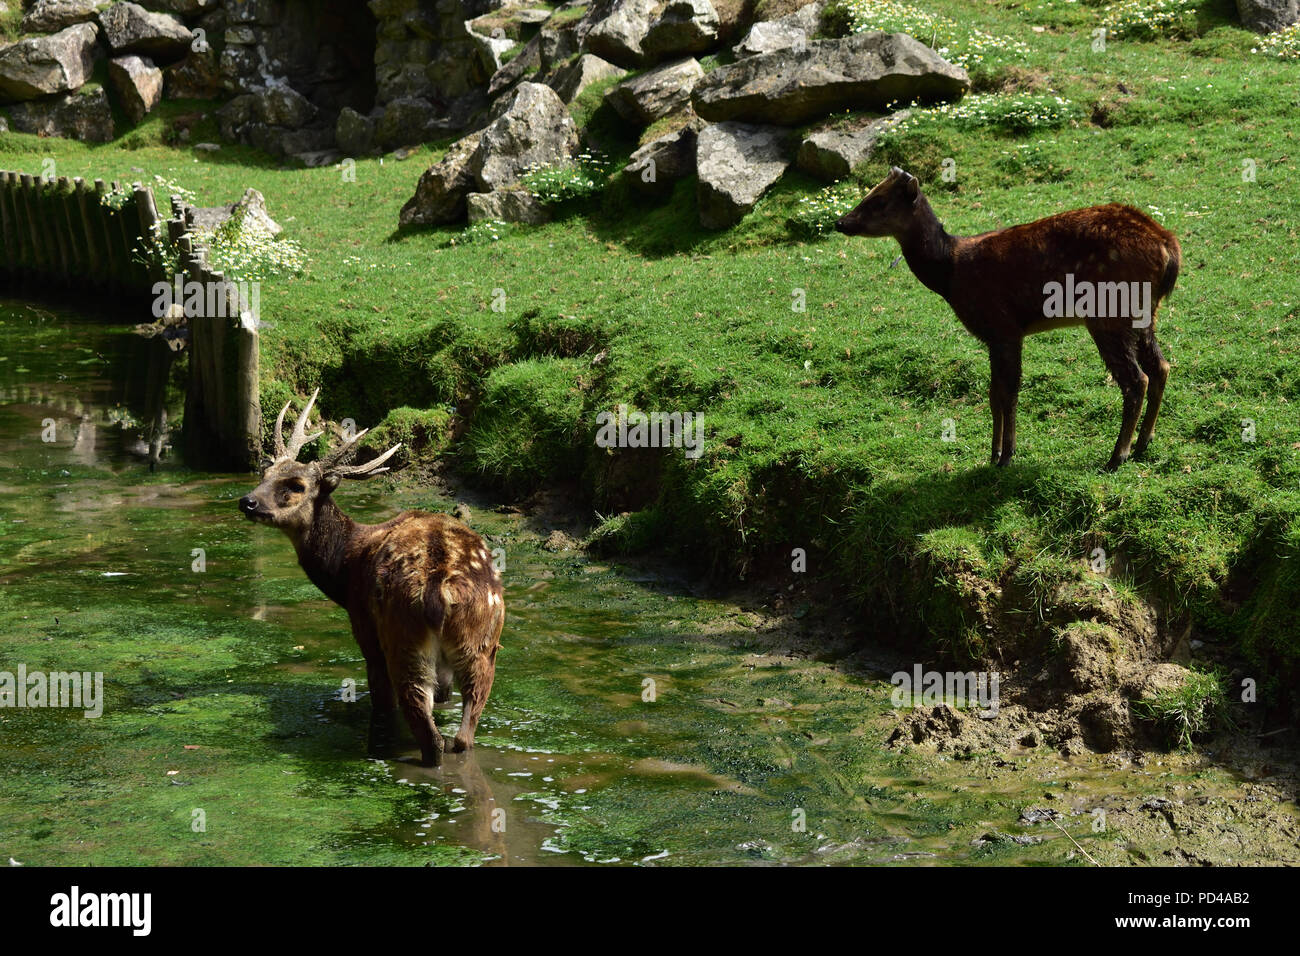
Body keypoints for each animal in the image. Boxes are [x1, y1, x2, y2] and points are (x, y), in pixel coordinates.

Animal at [238, 389, 504, 767]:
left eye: (297, 485)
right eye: (267, 472)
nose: (247, 501)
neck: (346, 565)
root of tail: (441, 592)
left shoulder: (362, 625)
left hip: (401, 638)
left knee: (429, 733)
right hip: (483, 642)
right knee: (464, 733)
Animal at [835, 167, 1181, 471]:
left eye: (878, 201)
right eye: (868, 194)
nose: (840, 222)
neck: (950, 271)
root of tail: (1169, 248)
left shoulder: (1004, 327)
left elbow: (1009, 391)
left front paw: (1007, 456)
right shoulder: (993, 336)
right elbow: (994, 393)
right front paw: (992, 454)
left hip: (1108, 312)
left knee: (1136, 380)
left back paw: (1116, 456)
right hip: (1143, 314)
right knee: (1161, 366)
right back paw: (1143, 443)